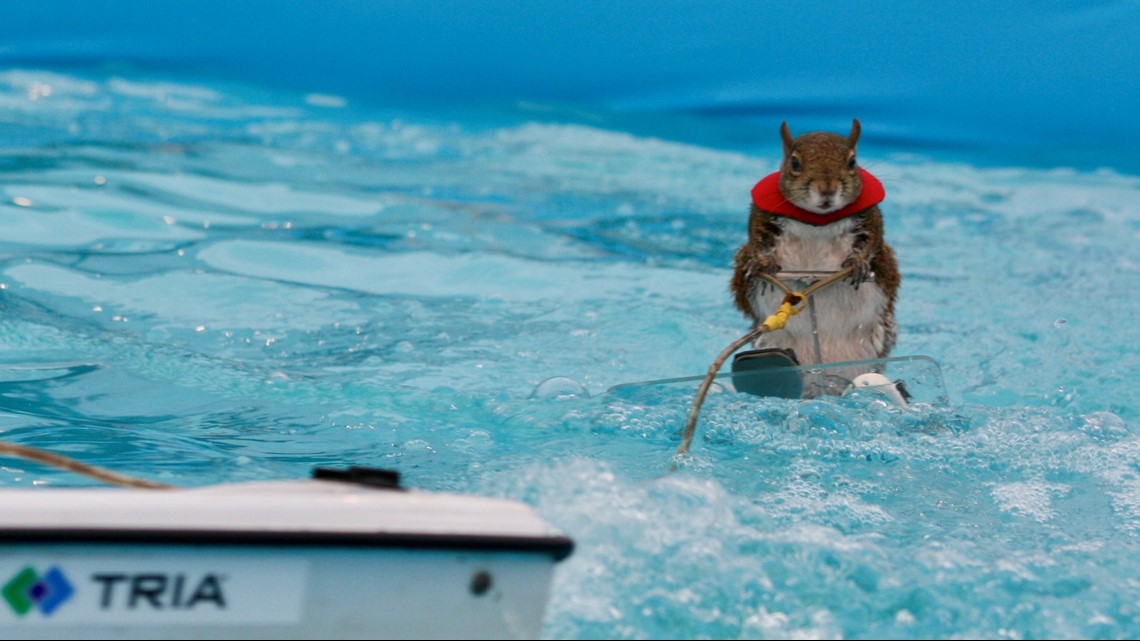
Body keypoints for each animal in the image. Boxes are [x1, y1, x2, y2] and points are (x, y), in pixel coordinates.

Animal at [729, 119, 900, 384]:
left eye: (852, 162)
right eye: (794, 163)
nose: (827, 189)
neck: (818, 219)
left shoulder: (870, 216)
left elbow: (872, 239)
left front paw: (858, 263)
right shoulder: (762, 214)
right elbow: (757, 236)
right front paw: (762, 263)